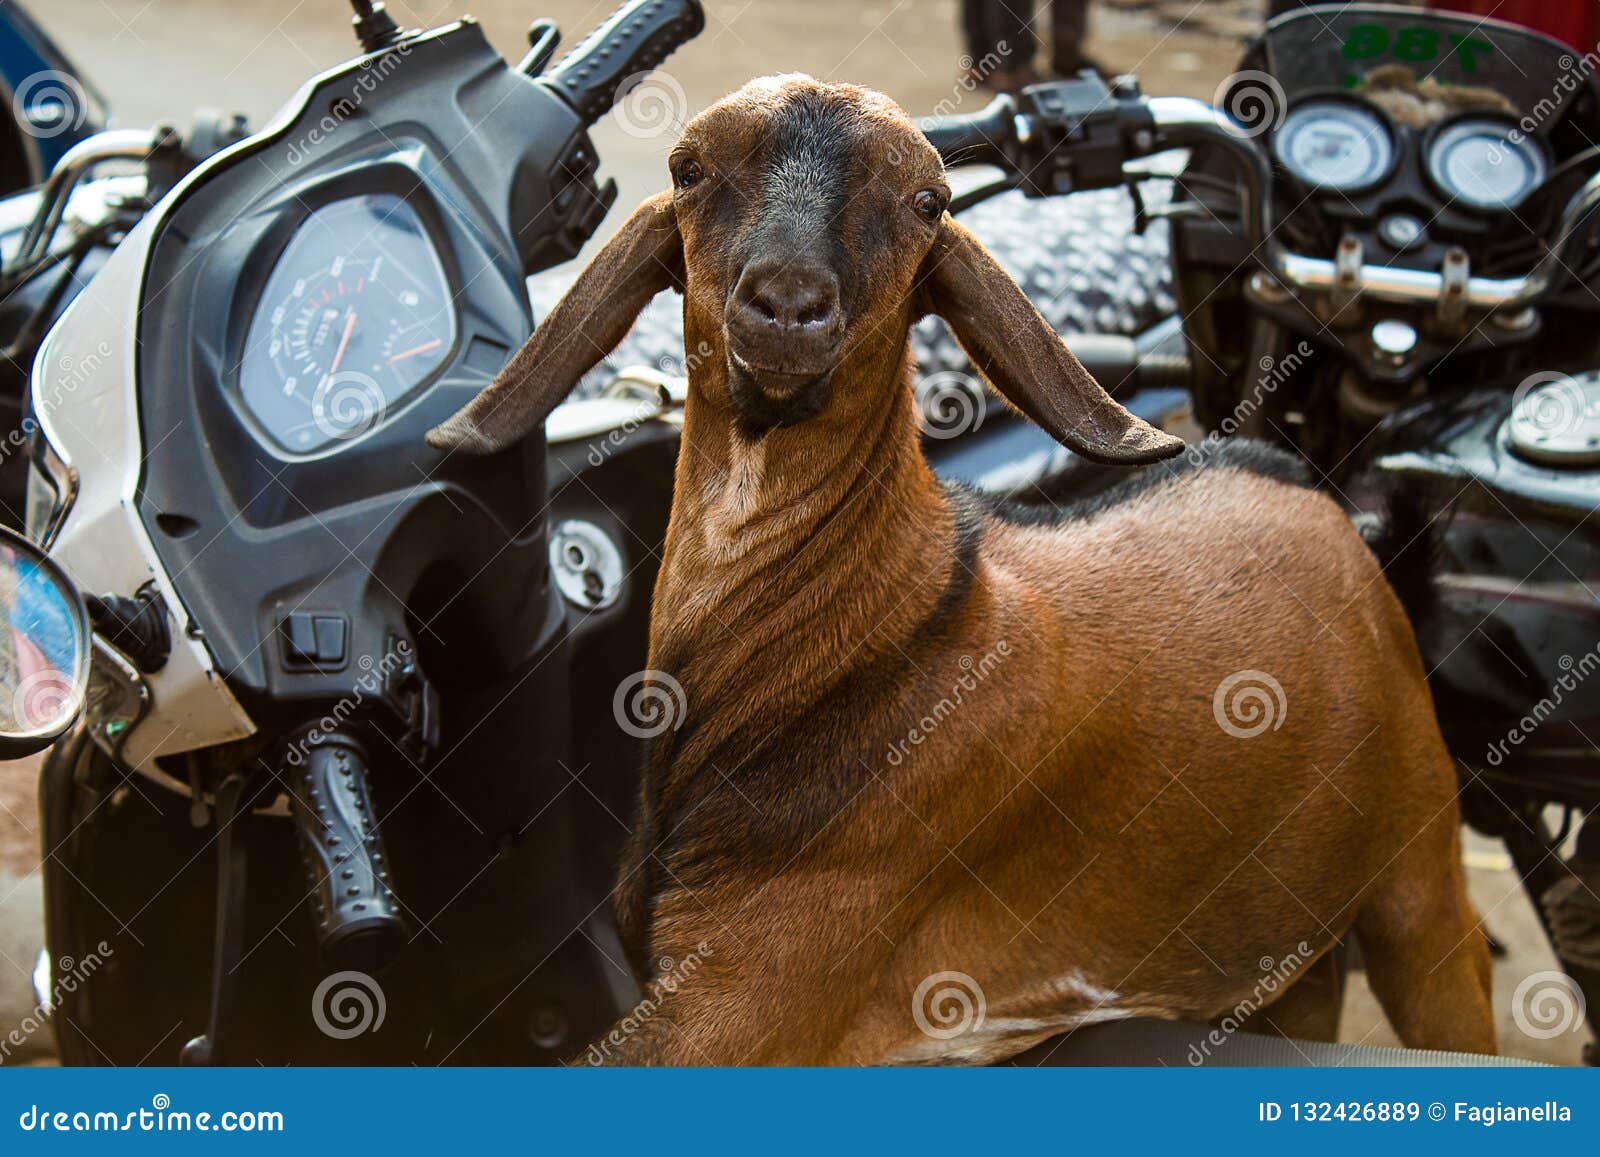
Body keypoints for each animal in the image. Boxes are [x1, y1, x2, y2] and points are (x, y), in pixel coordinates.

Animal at [429, 75, 1495, 1065]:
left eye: (927, 200)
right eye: (688, 170)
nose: (787, 307)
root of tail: (1301, 486)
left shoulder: (745, 1000)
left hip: (1422, 870)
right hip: (1291, 952)